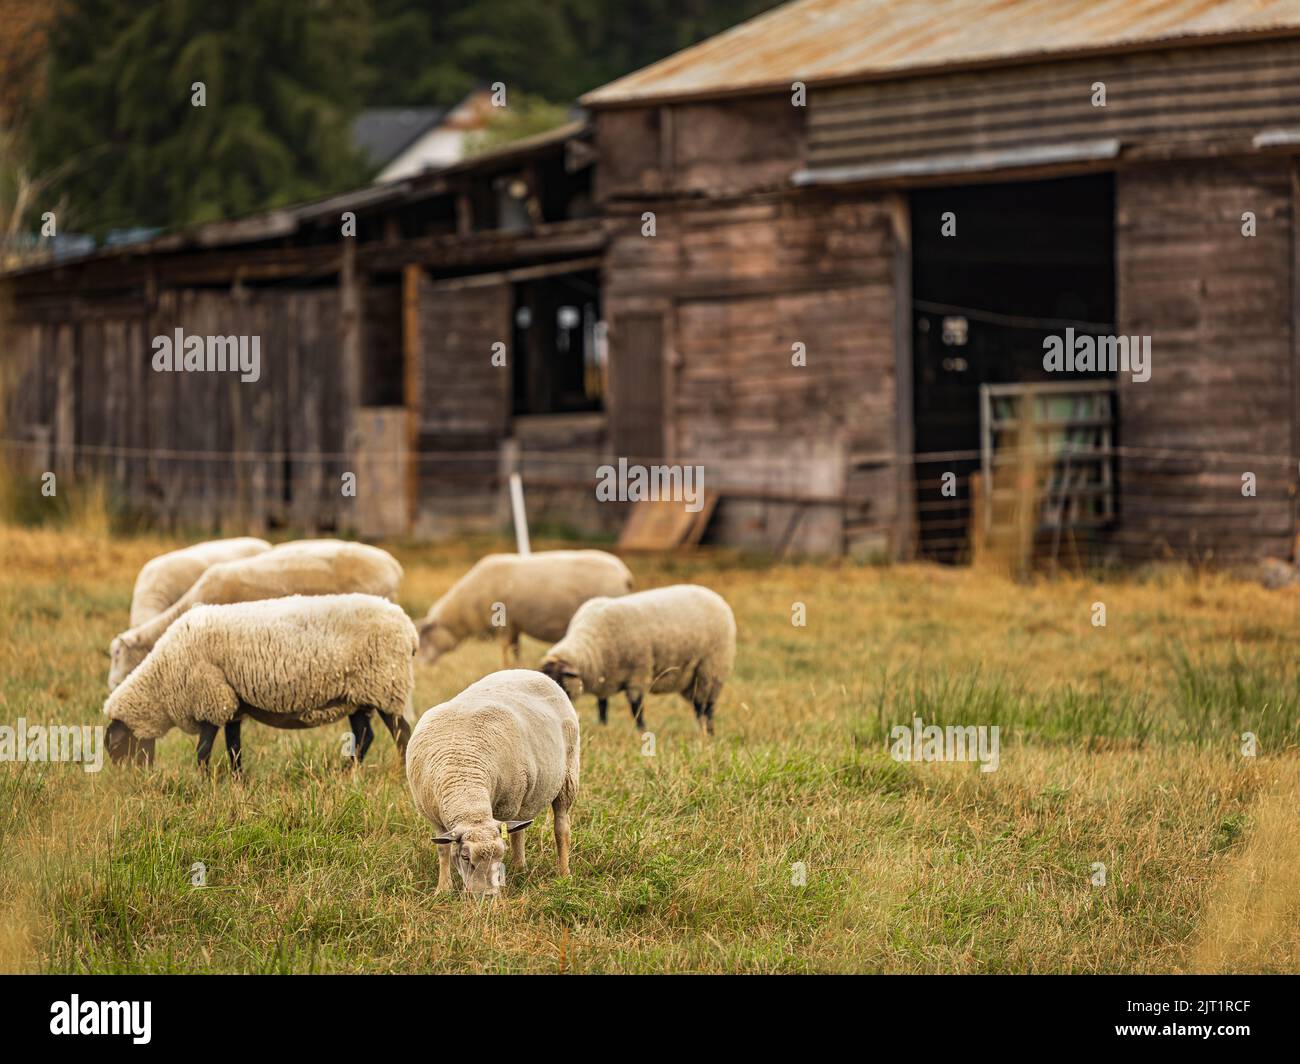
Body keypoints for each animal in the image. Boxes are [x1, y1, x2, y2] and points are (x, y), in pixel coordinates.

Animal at [103, 594, 417, 773]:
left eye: (117, 750)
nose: (136, 782)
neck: (162, 679)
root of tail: (407, 626)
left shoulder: (211, 699)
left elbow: (203, 752)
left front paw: (203, 782)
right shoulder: (231, 703)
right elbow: (234, 748)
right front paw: (237, 780)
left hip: (385, 684)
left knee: (401, 734)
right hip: (358, 694)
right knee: (365, 735)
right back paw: (347, 773)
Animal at [405, 669, 580, 896]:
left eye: (499, 856)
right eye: (465, 857)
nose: (486, 895)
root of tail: (531, 671)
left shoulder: (506, 805)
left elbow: (510, 835)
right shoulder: (434, 817)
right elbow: (443, 850)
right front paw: (443, 888)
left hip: (566, 777)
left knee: (560, 827)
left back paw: (562, 873)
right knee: (520, 831)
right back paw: (521, 867)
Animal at [416, 549, 632, 669]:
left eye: (425, 637)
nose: (421, 665)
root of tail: (624, 574)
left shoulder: (504, 624)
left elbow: (505, 647)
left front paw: (504, 666)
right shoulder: (515, 625)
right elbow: (516, 647)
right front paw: (518, 665)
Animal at [541, 584, 736, 736]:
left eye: (560, 683)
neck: (593, 643)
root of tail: (715, 596)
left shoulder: (639, 673)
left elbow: (636, 706)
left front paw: (641, 730)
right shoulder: (606, 677)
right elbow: (602, 705)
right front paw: (603, 725)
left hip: (712, 670)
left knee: (707, 706)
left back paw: (709, 732)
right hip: (692, 678)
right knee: (698, 706)